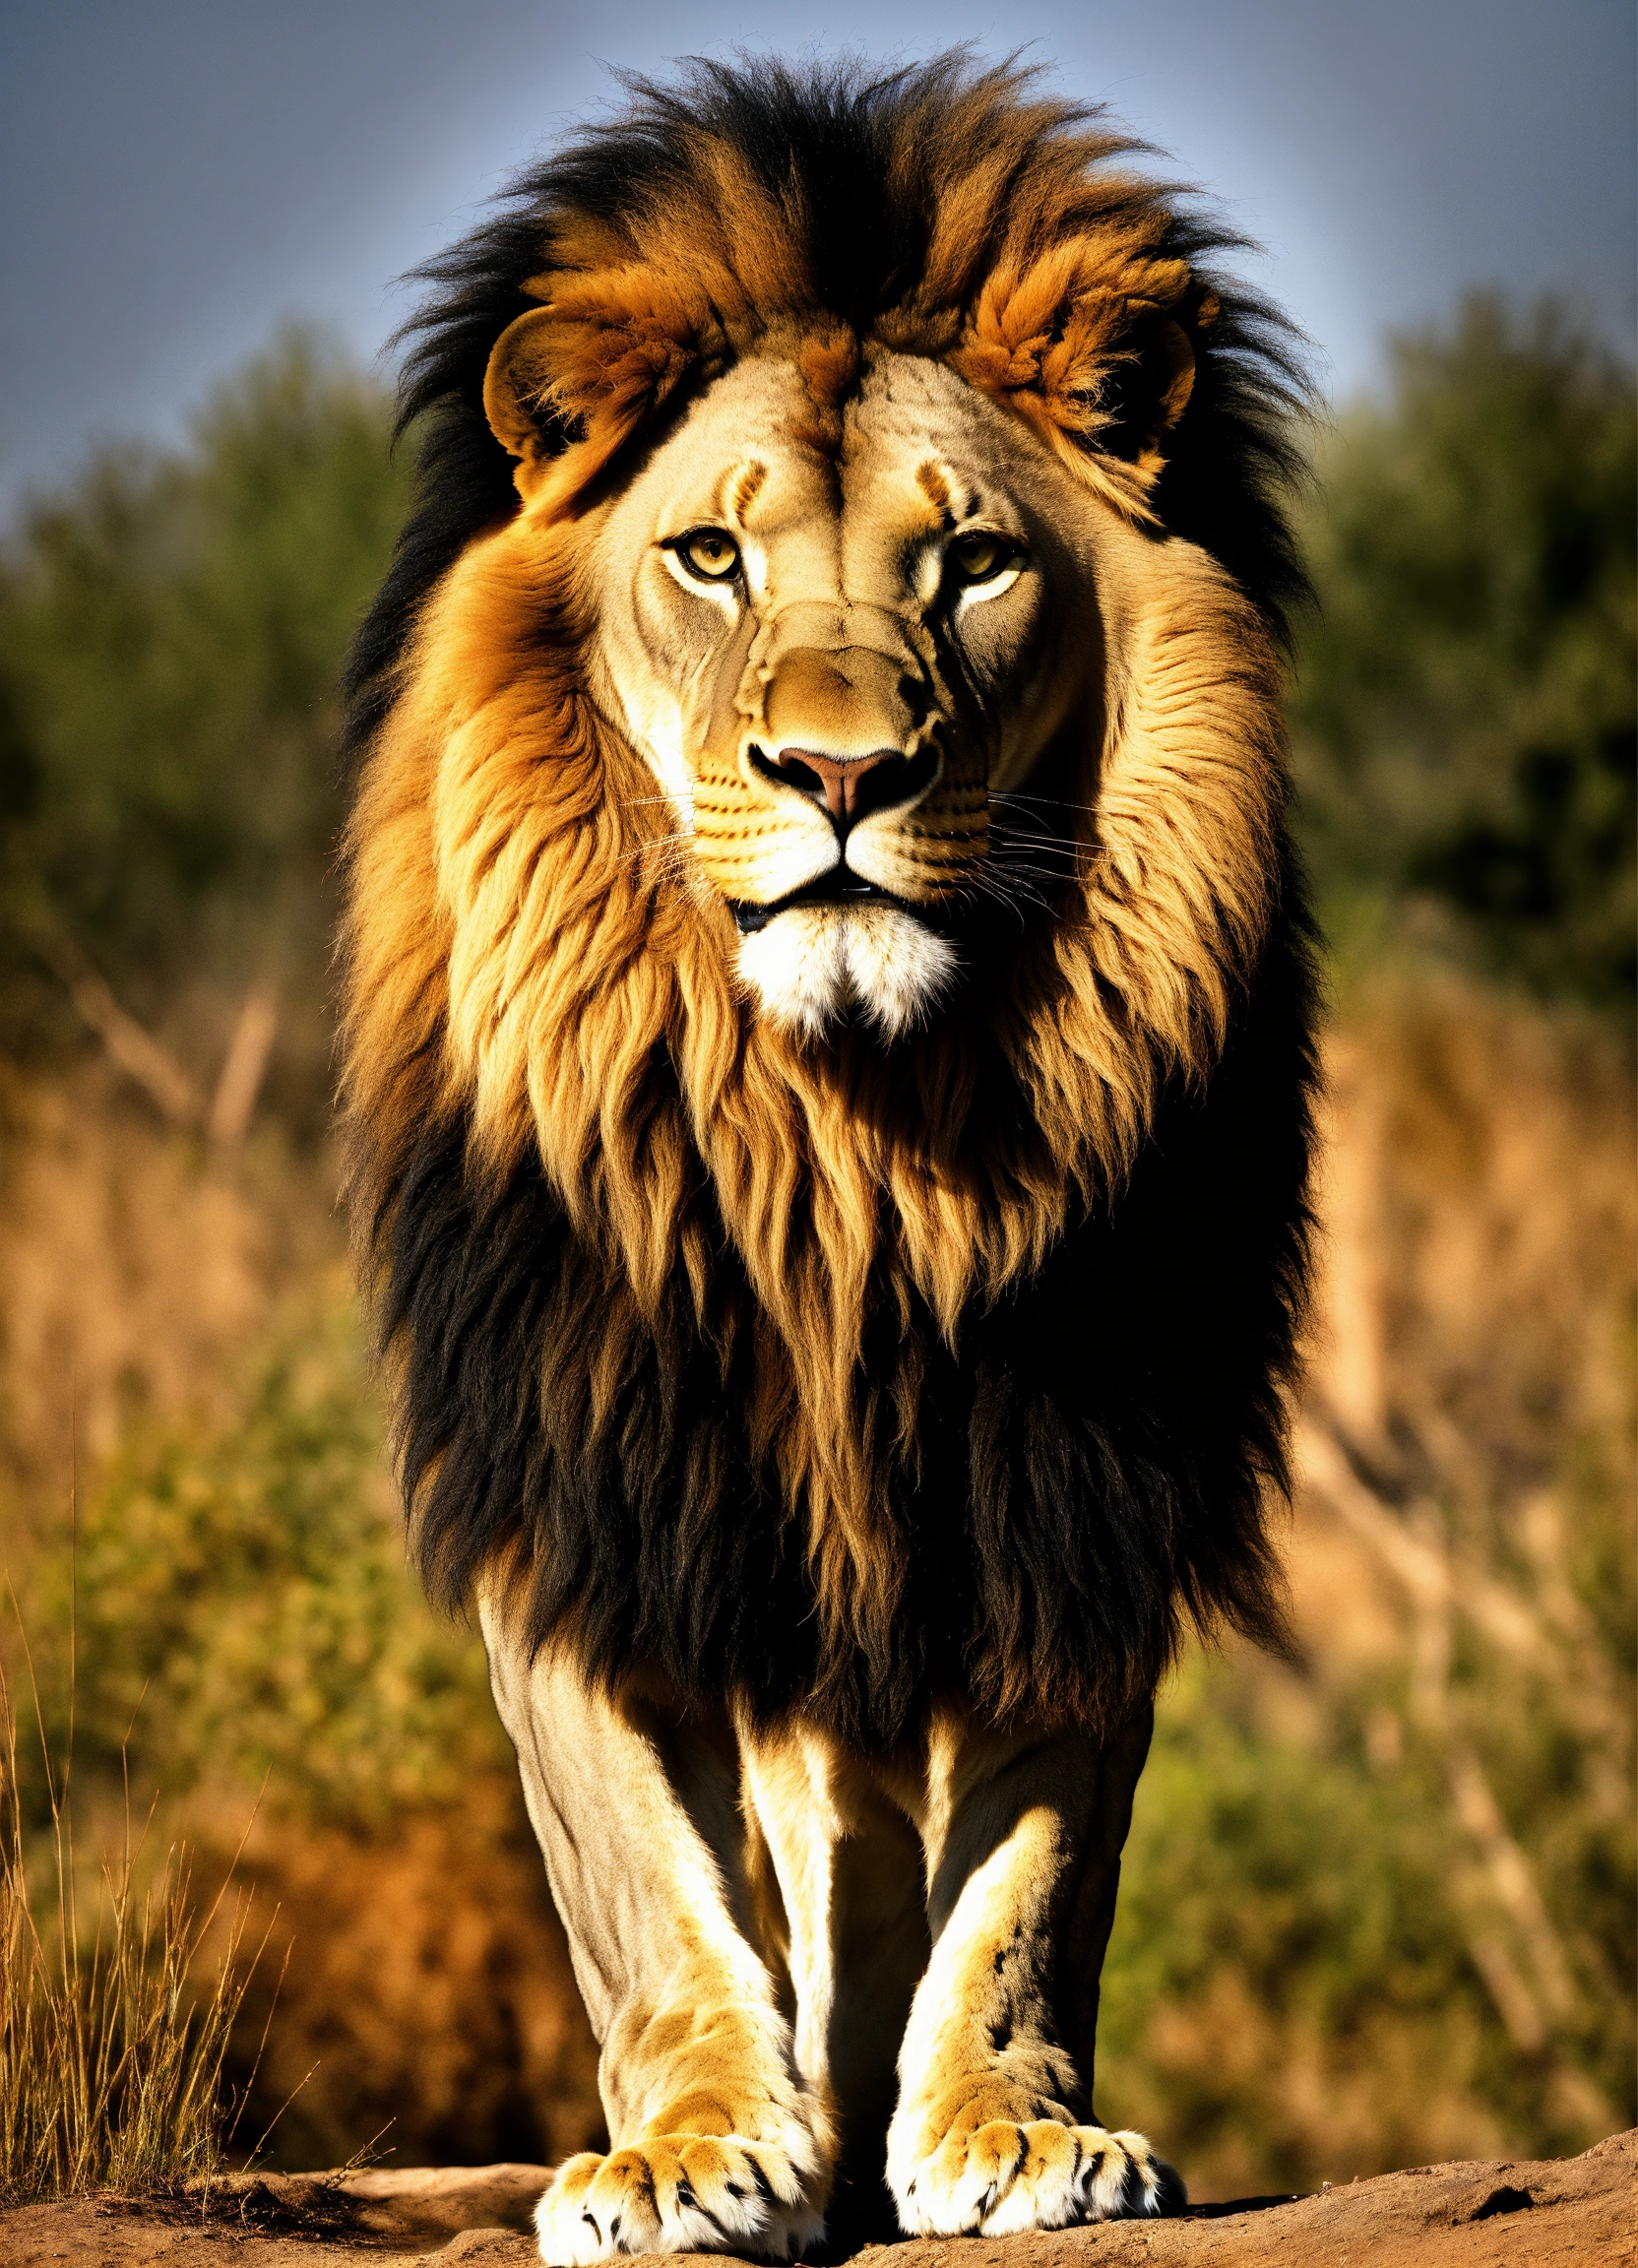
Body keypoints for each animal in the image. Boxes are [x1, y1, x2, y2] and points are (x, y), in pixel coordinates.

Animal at [339, 52, 1317, 2262]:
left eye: (971, 567)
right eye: (708, 557)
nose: (844, 772)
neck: (836, 1151)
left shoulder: (1079, 1463)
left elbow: (1032, 1866)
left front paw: (1012, 2128)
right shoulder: (579, 1455)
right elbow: (639, 1864)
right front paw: (694, 2144)